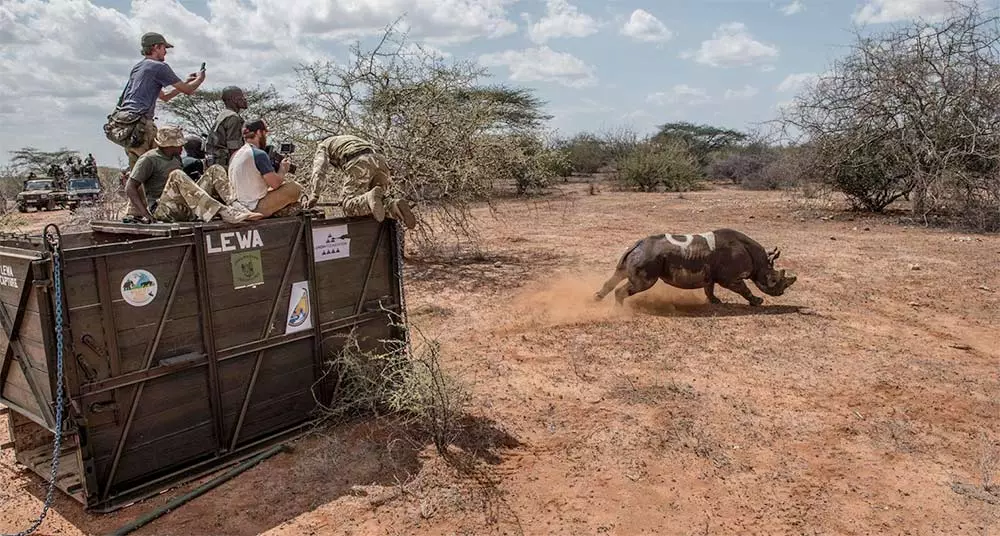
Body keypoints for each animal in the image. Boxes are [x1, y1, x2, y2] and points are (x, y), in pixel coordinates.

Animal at [592, 228, 796, 308]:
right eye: (774, 280)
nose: (780, 294)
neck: (760, 262)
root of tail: (637, 244)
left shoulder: (710, 273)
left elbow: (709, 288)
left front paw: (715, 302)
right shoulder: (731, 277)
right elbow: (744, 289)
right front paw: (758, 302)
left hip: (638, 256)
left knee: (617, 275)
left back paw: (596, 300)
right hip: (648, 259)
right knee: (640, 284)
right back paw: (619, 311)